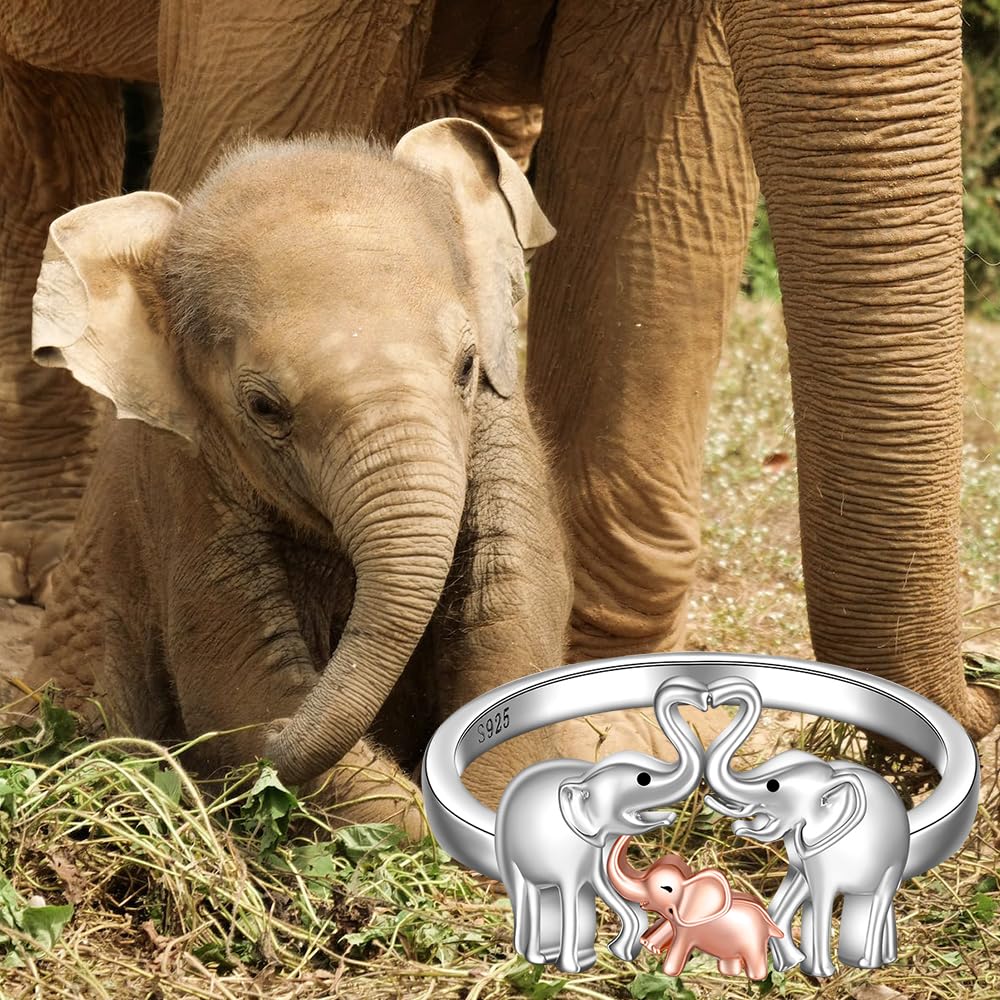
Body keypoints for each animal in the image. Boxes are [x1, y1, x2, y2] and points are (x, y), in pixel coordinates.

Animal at [2, 2, 998, 741]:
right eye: (262, 407)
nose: (984, 692)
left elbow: (659, 187)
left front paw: (607, 718)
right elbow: (263, 114)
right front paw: (94, 728)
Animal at [21, 117, 582, 833]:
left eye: (467, 367)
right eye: (263, 408)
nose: (175, 756)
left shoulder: (503, 426)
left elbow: (511, 618)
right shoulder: (185, 483)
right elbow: (242, 688)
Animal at [493, 677, 709, 974]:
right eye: (643, 779)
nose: (704, 698)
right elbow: (571, 893)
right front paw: (573, 967)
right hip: (507, 851)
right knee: (523, 892)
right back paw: (534, 957)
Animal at [605, 835, 783, 980]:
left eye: (666, 888)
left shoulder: (687, 930)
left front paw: (668, 972)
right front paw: (650, 946)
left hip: (754, 942)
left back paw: (756, 977)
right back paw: (729, 973)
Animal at [703, 677, 910, 978]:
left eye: (773, 785)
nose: (712, 696)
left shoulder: (827, 851)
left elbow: (822, 896)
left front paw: (820, 972)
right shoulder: (802, 858)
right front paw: (792, 965)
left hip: (894, 863)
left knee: (881, 898)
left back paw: (866, 963)